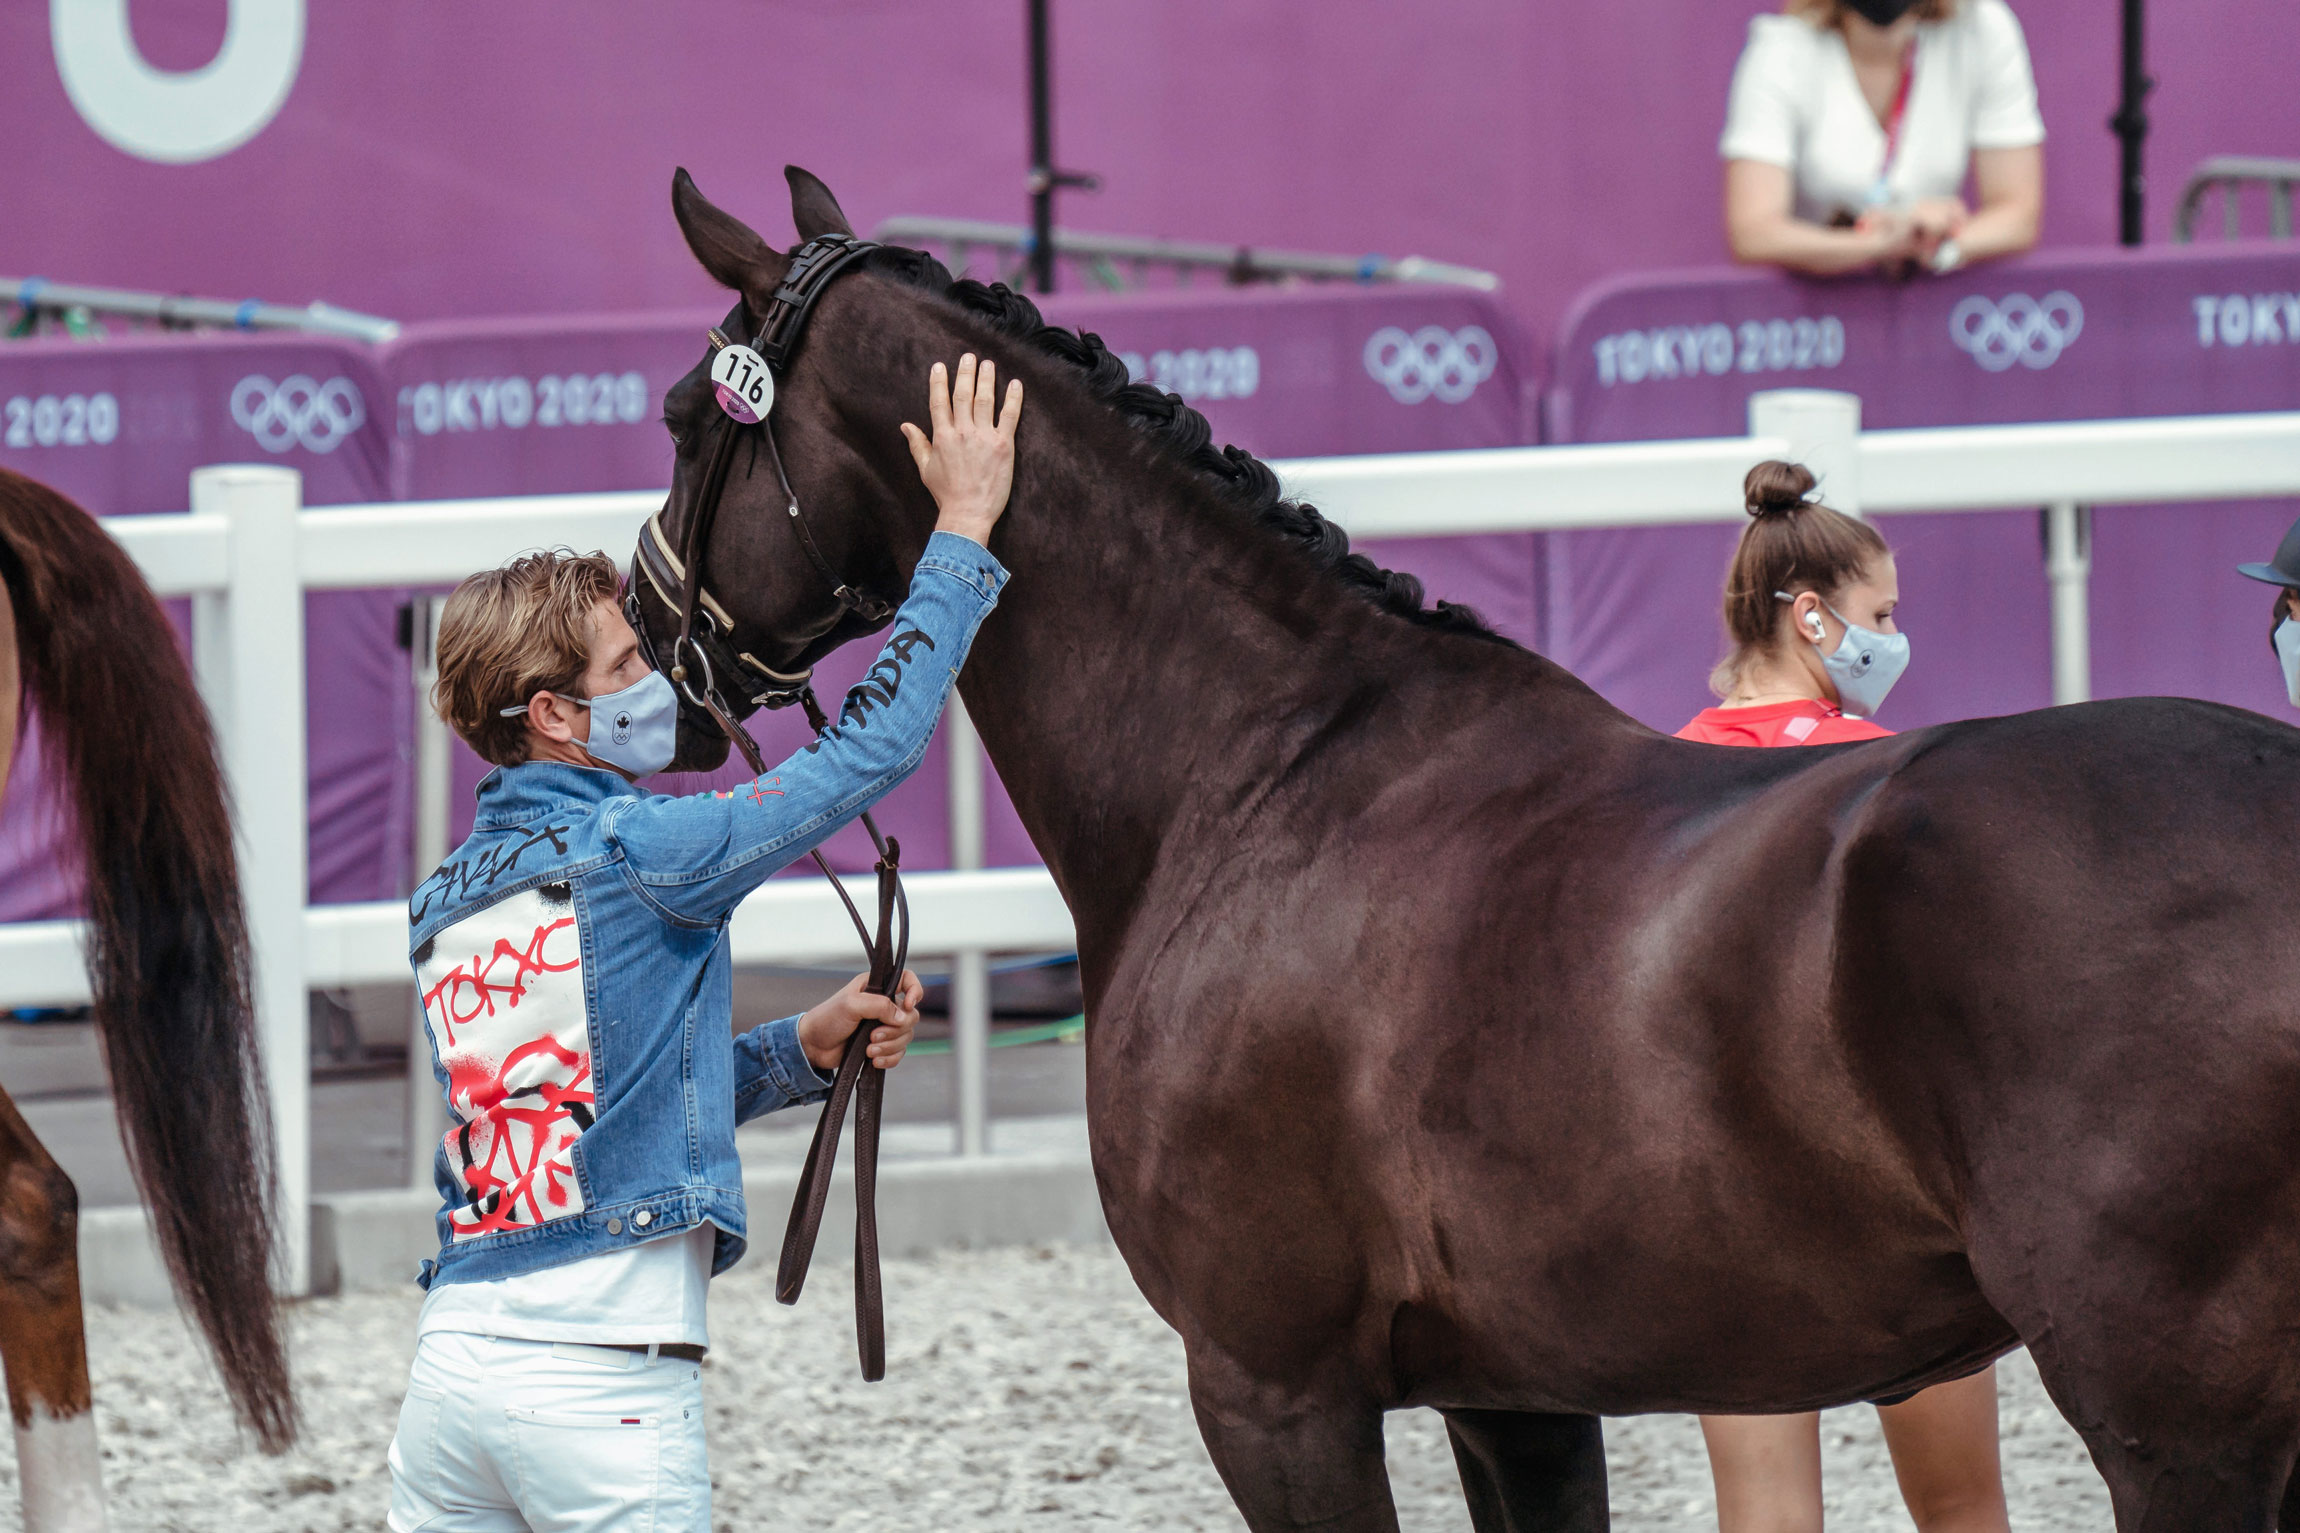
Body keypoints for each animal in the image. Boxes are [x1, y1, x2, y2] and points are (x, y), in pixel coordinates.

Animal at [634, 167, 2300, 1533]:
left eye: (680, 417)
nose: (656, 637)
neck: (1259, 778)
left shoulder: (1273, 1393)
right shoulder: (1516, 1397)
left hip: (2179, 1430)